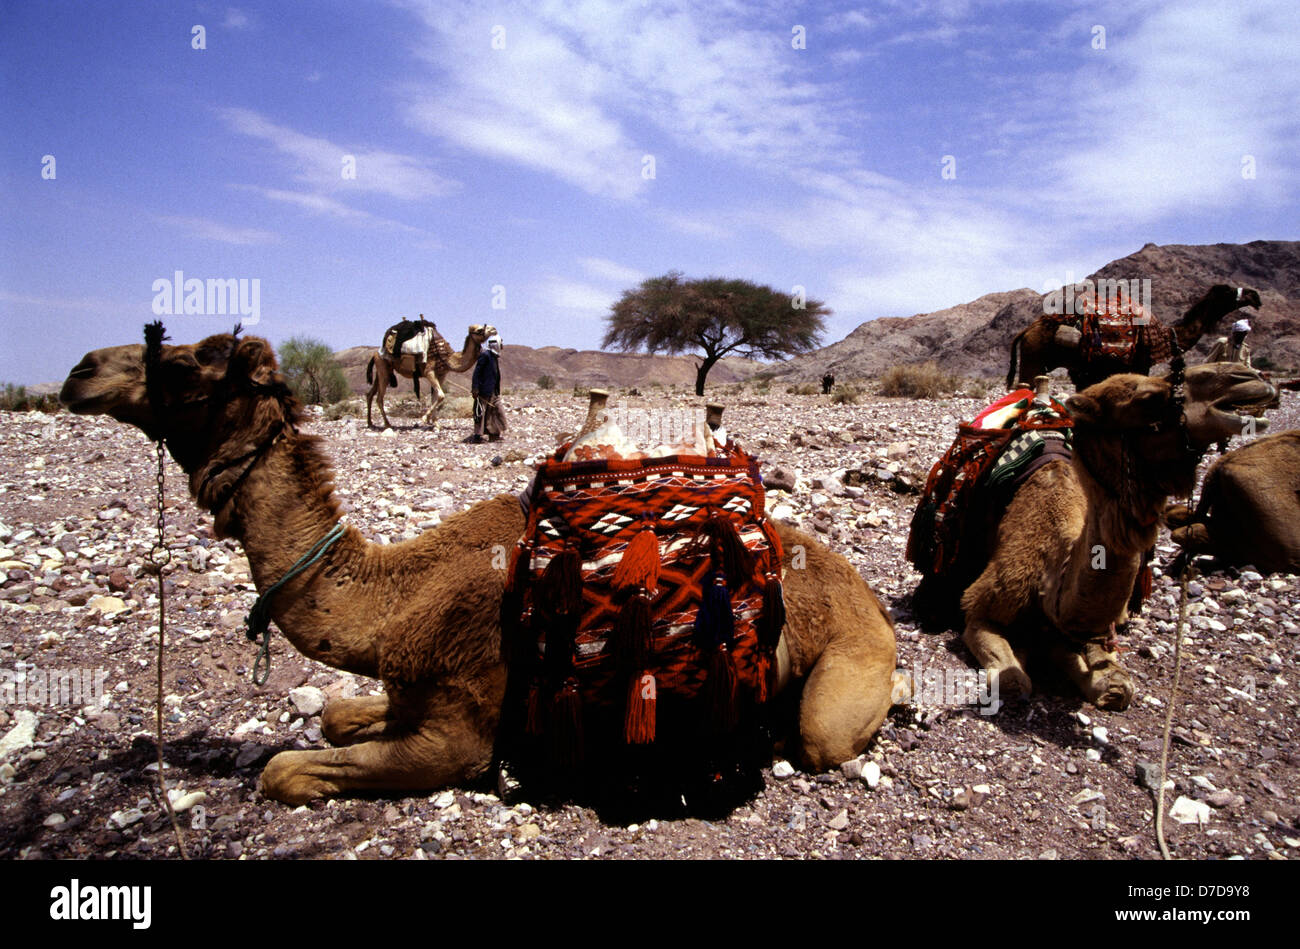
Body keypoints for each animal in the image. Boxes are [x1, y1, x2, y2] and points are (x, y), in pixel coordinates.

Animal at [60, 331, 899, 806]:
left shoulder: (458, 732)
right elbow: (334, 715)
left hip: (842, 679)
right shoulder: (411, 688)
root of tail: (869, 595)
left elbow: (285, 771)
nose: (79, 372)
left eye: (186, 365)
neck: (394, 601)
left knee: (819, 733)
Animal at [950, 363, 1277, 710]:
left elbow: (1115, 685)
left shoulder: (1089, 632)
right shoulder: (980, 610)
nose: (1247, 378)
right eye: (1146, 398)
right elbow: (1013, 680)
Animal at [1007, 285, 1262, 390]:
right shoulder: (1141, 365)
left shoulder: (1091, 373)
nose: (1255, 296)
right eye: (1229, 291)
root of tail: (1026, 331)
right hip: (1033, 359)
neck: (1166, 336)